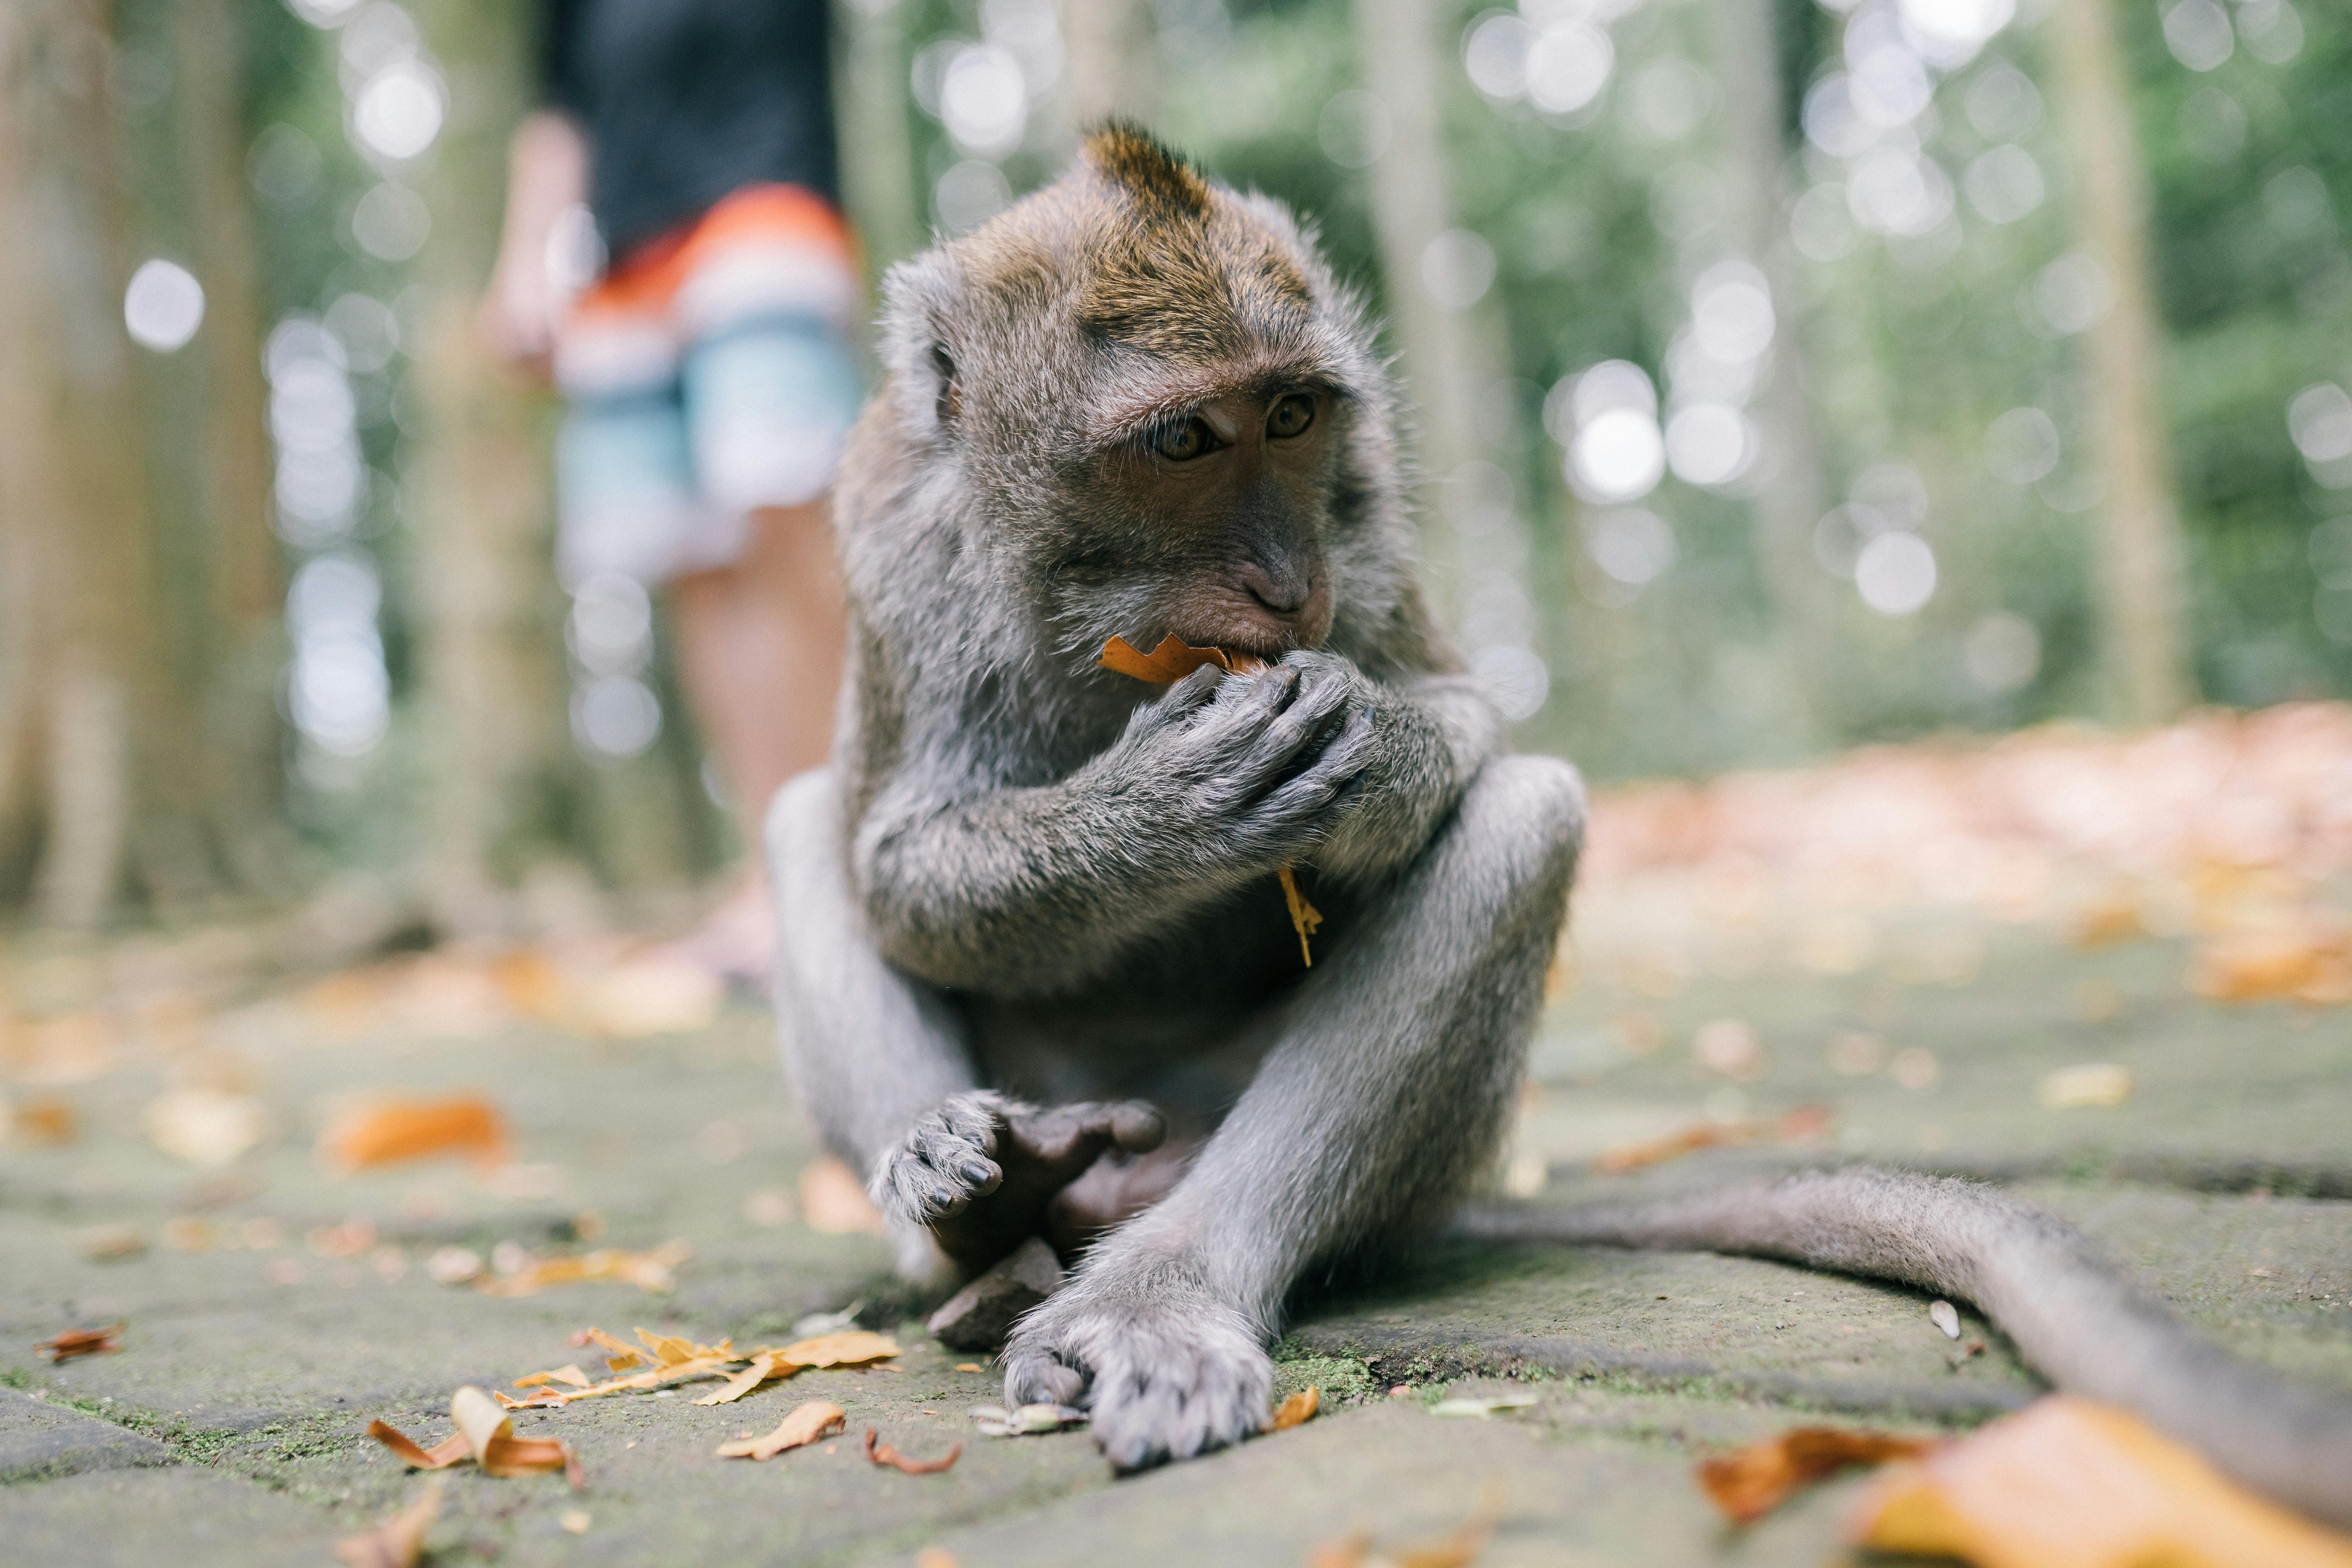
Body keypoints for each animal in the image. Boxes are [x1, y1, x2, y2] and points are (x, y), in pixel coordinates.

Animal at [769, 127, 2352, 1522]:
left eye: (1287, 417)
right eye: (1181, 437)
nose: (1285, 584)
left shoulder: (1365, 513)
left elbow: (1474, 726)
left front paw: (1379, 751)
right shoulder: (896, 538)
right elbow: (897, 866)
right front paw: (1175, 802)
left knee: (1523, 818)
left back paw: (1167, 1289)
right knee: (801, 831)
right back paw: (978, 1219)